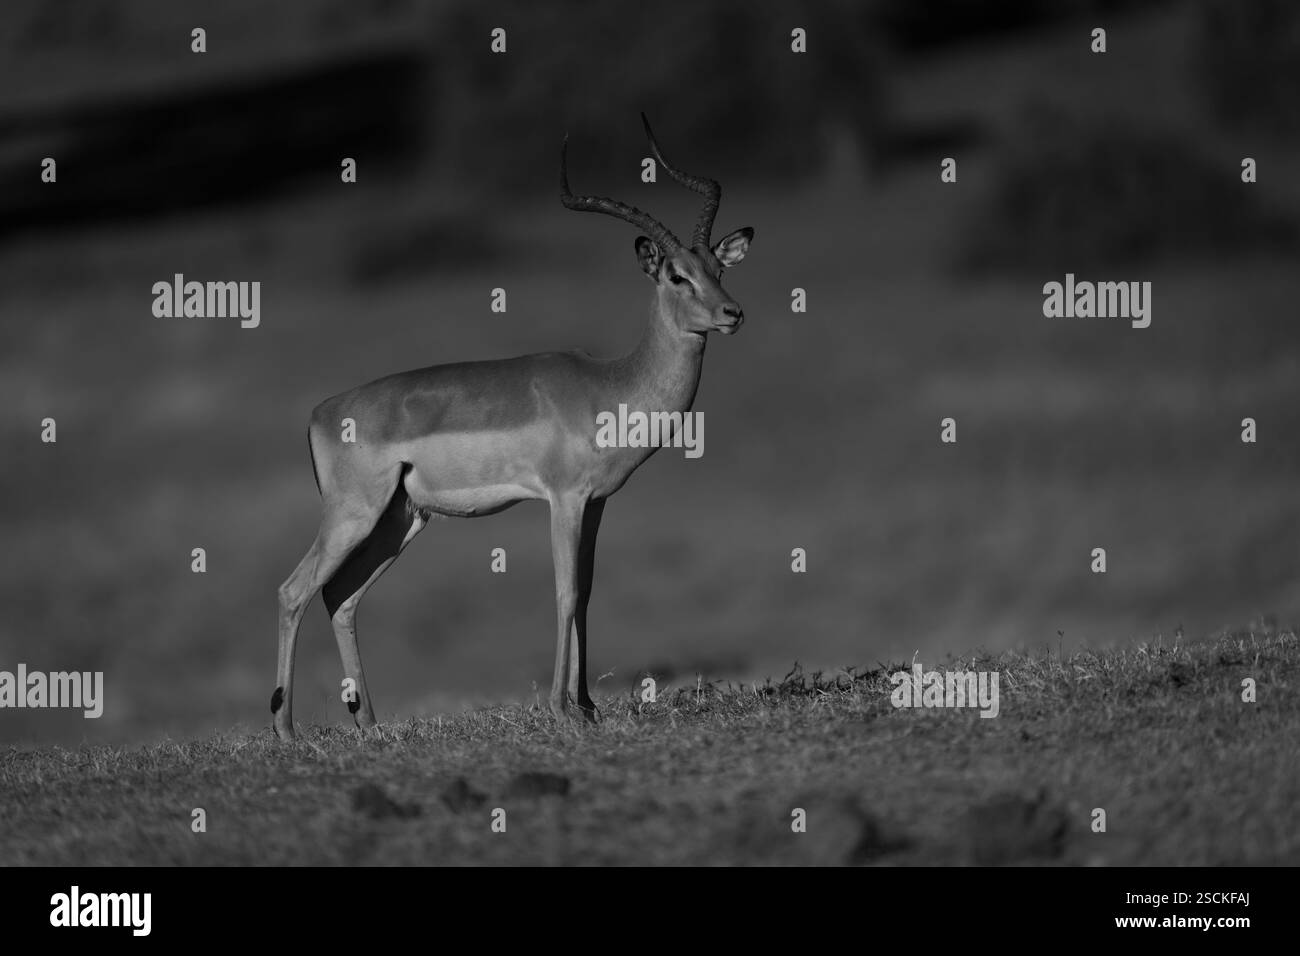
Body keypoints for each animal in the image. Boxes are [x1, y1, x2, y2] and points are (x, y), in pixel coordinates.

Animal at [272, 114, 753, 739]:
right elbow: (565, 591)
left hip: (400, 519)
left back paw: (369, 725)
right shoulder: (564, 498)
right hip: (354, 514)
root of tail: (320, 413)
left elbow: (587, 592)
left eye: (717, 269)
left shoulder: (597, 503)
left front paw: (588, 706)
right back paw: (285, 731)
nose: (732, 314)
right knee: (294, 591)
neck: (613, 385)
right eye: (677, 275)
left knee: (340, 595)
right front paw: (560, 709)